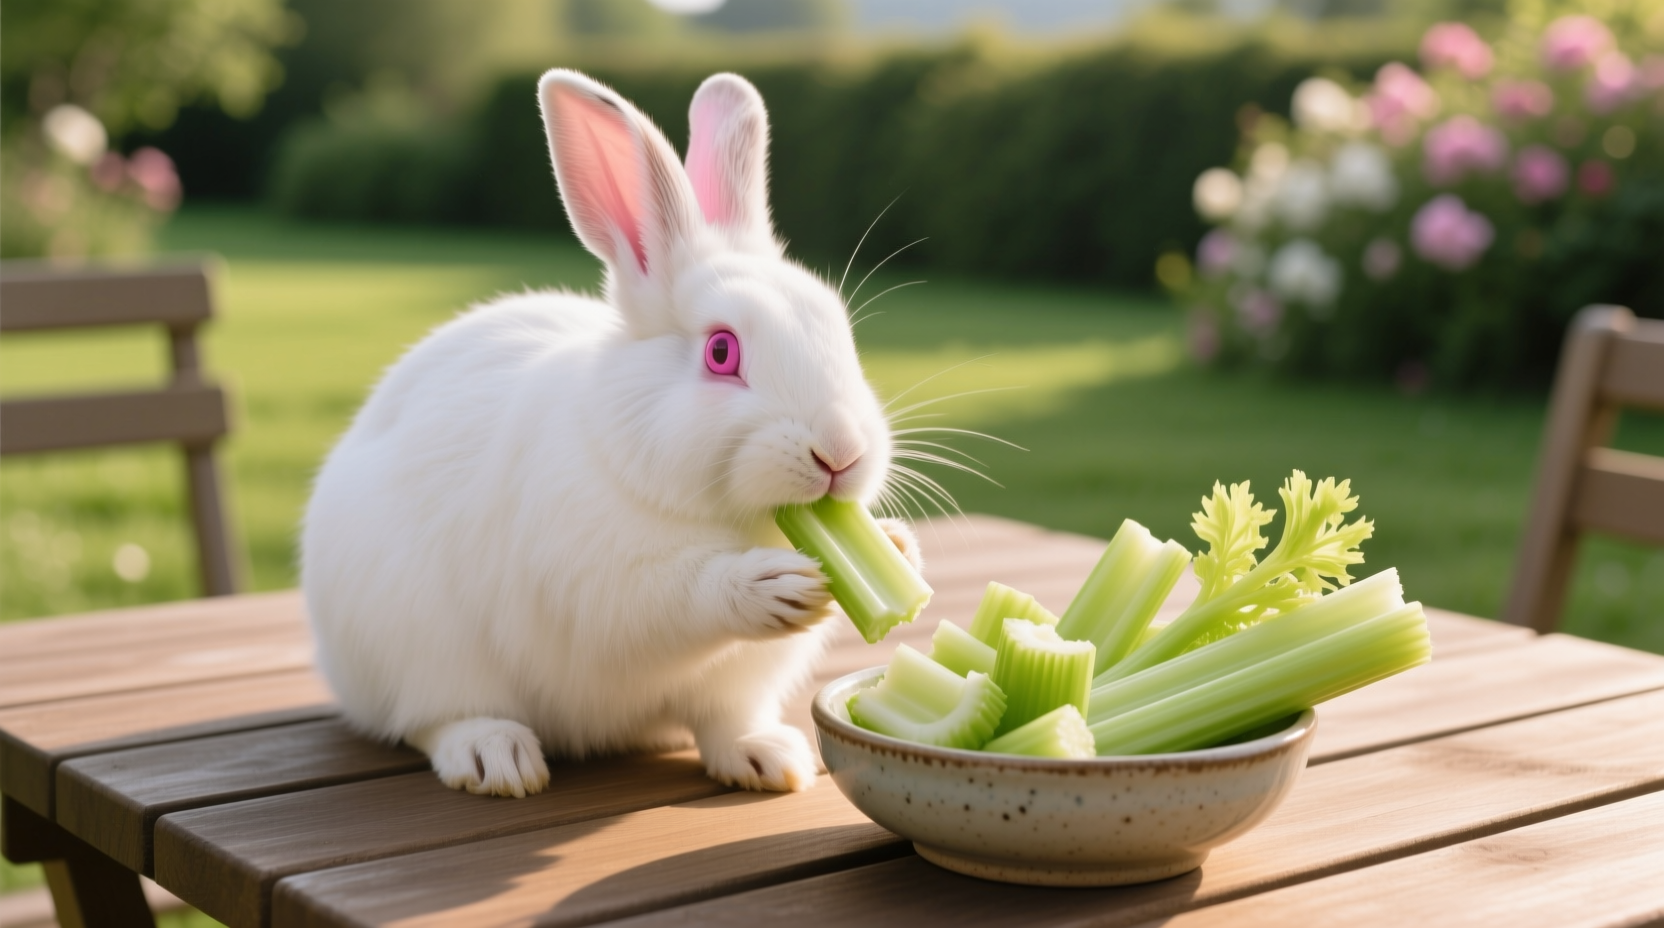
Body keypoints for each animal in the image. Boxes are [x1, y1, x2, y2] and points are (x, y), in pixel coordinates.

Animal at [300, 69, 921, 799]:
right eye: (721, 352)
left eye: (839, 329)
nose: (841, 454)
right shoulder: (595, 580)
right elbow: (677, 596)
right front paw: (776, 585)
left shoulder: (737, 683)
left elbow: (726, 720)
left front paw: (898, 549)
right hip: (418, 648)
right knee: (436, 716)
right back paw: (495, 758)